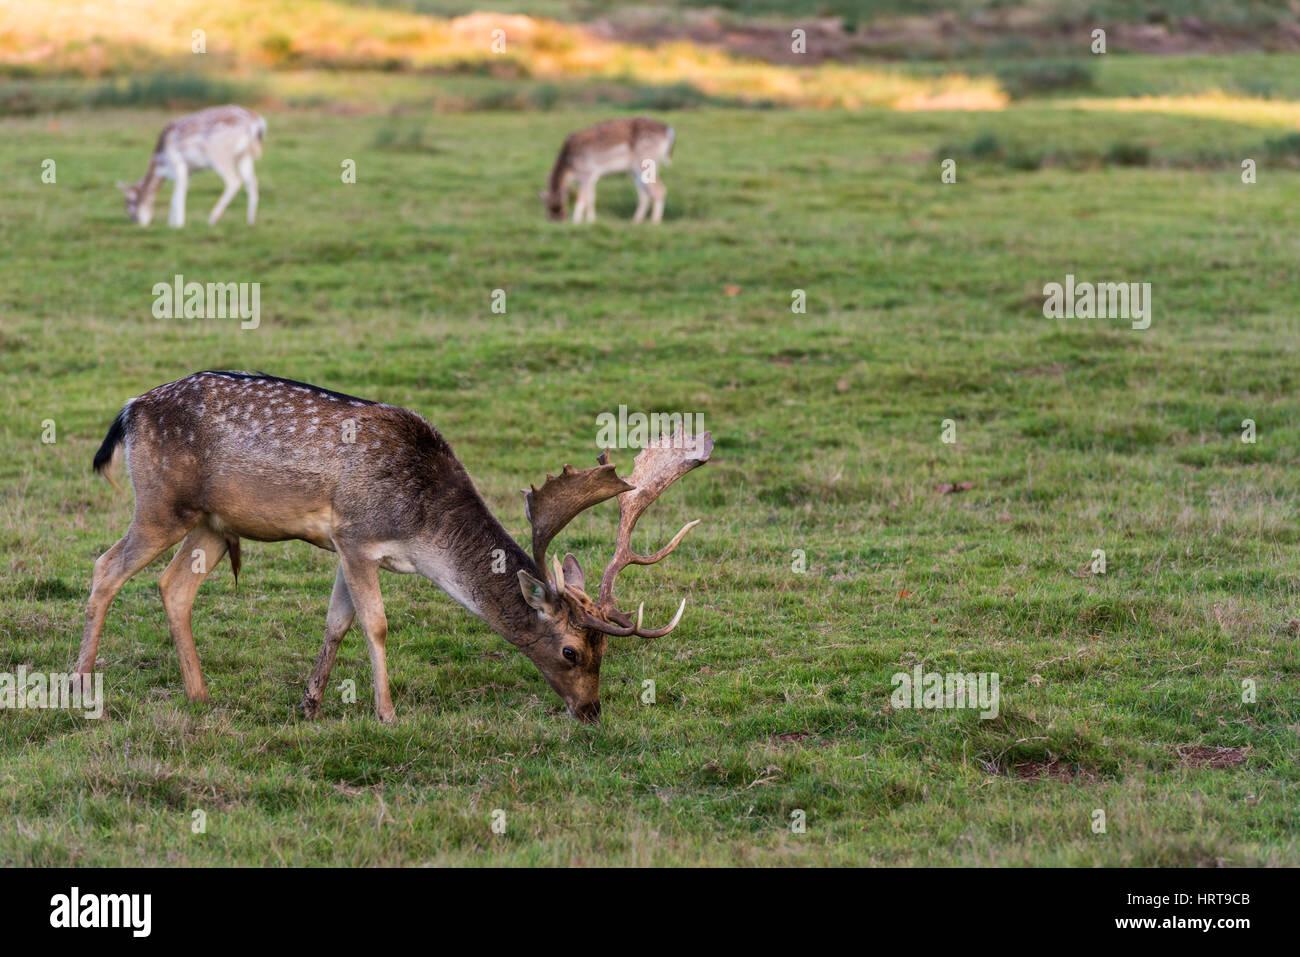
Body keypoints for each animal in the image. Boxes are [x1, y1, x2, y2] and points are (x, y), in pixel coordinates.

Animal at [76, 371, 712, 724]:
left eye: (603, 653)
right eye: (571, 652)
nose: (591, 712)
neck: (422, 530)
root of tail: (128, 411)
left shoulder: (341, 546)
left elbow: (336, 622)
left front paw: (309, 705)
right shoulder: (357, 537)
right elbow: (375, 624)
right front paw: (386, 712)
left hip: (211, 521)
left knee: (173, 586)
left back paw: (201, 695)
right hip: (161, 503)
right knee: (105, 566)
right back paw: (82, 685)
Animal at [117, 105, 266, 228]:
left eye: (128, 203)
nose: (136, 221)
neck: (161, 165)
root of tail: (256, 122)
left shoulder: (178, 164)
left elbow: (177, 197)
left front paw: (178, 225)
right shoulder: (189, 171)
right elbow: (177, 195)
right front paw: (171, 224)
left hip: (219, 154)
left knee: (234, 181)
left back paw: (212, 219)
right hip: (244, 156)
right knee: (252, 182)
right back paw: (250, 221)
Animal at [541, 117, 675, 224]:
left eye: (562, 209)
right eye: (549, 211)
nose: (558, 220)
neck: (569, 168)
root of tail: (669, 131)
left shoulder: (587, 172)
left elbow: (582, 198)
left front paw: (576, 222)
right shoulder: (593, 176)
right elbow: (591, 198)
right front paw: (591, 220)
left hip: (645, 161)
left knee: (660, 189)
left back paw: (654, 222)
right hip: (635, 170)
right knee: (644, 194)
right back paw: (635, 221)